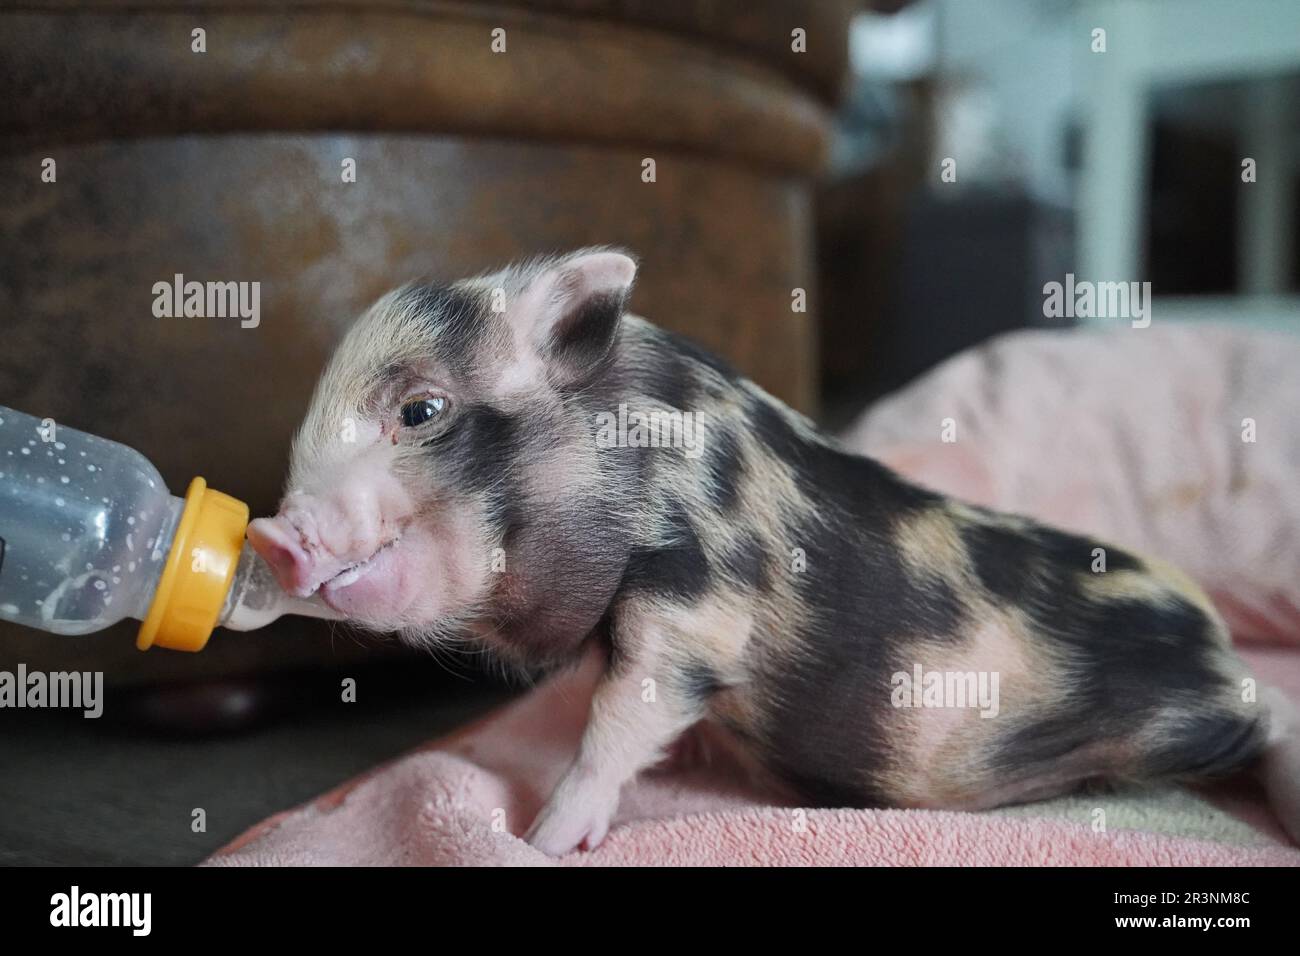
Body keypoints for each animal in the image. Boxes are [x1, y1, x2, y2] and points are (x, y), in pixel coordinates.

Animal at [247, 248, 1300, 856]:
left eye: (421, 410)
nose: (271, 530)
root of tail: (1208, 622)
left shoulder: (695, 602)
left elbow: (618, 720)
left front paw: (543, 840)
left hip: (1183, 719)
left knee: (1272, 711)